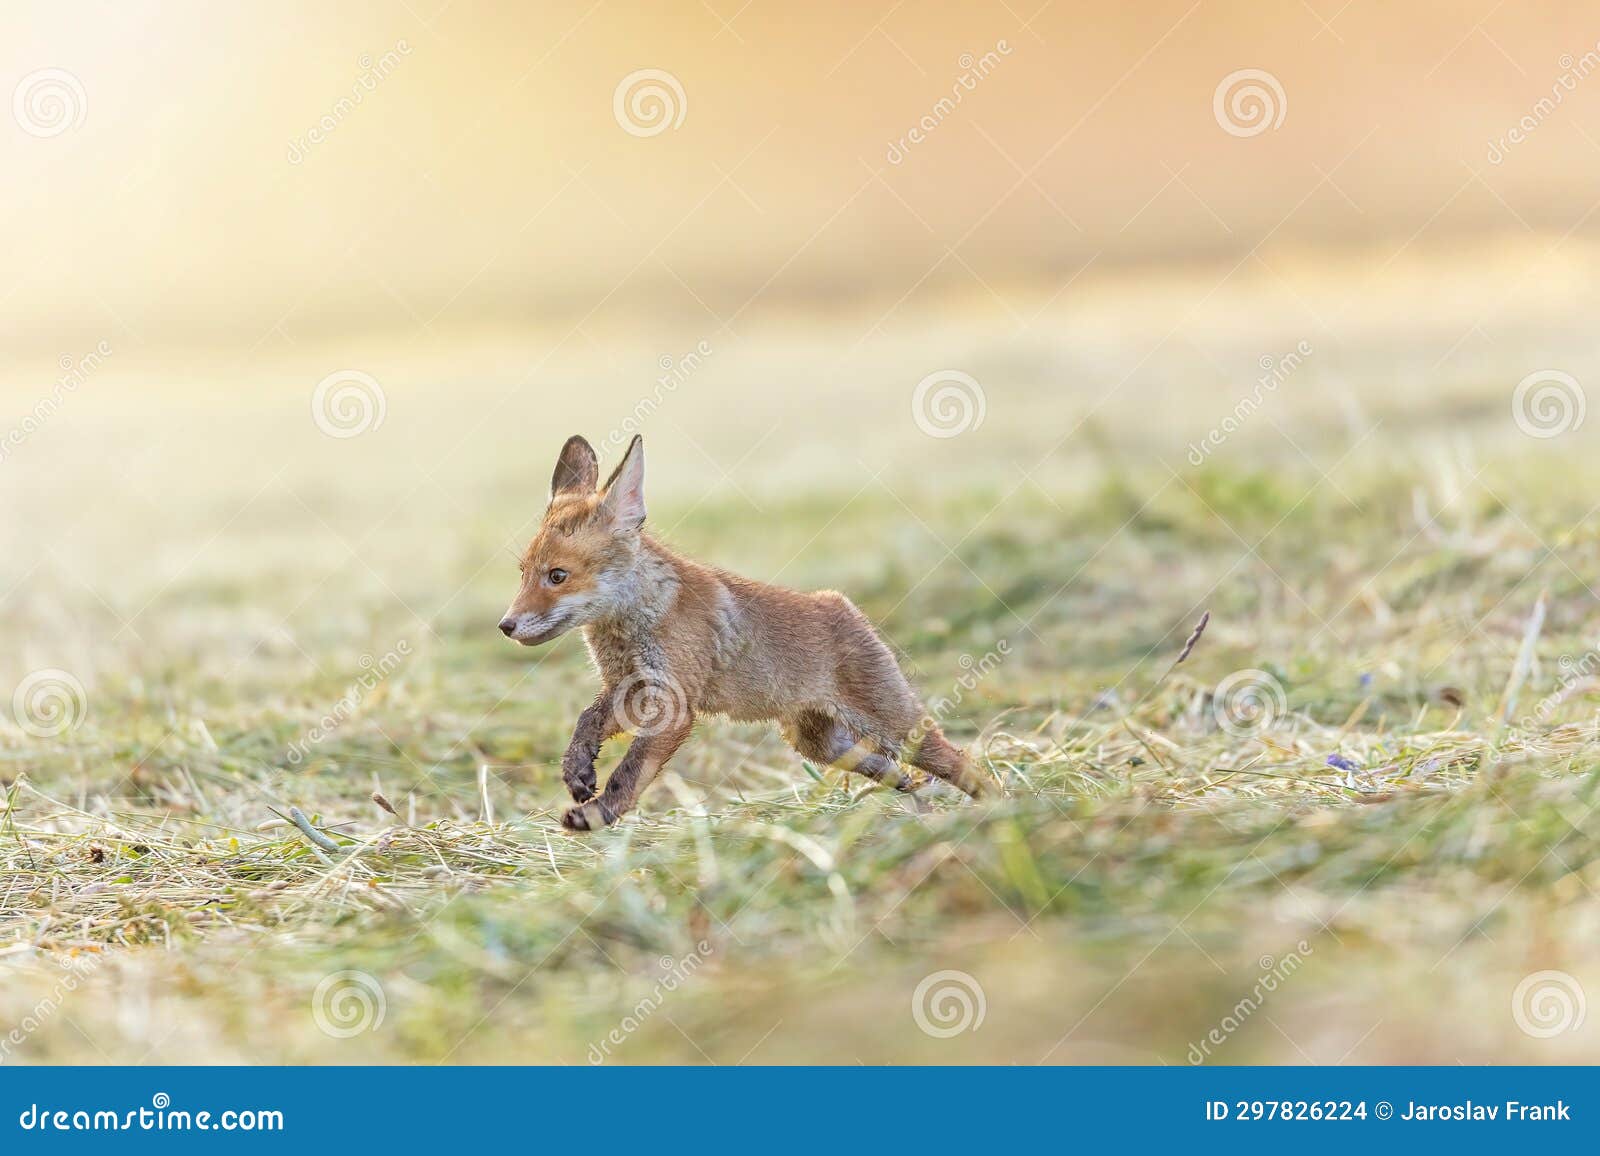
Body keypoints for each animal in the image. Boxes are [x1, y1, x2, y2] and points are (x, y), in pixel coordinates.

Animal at [498, 433, 992, 830]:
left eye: (557, 576)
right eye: (523, 574)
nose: (506, 625)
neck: (634, 621)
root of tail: (843, 606)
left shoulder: (674, 704)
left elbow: (630, 773)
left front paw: (598, 815)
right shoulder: (628, 686)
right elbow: (587, 720)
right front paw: (577, 770)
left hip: (895, 730)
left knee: (964, 766)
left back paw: (1003, 810)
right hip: (821, 744)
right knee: (897, 773)